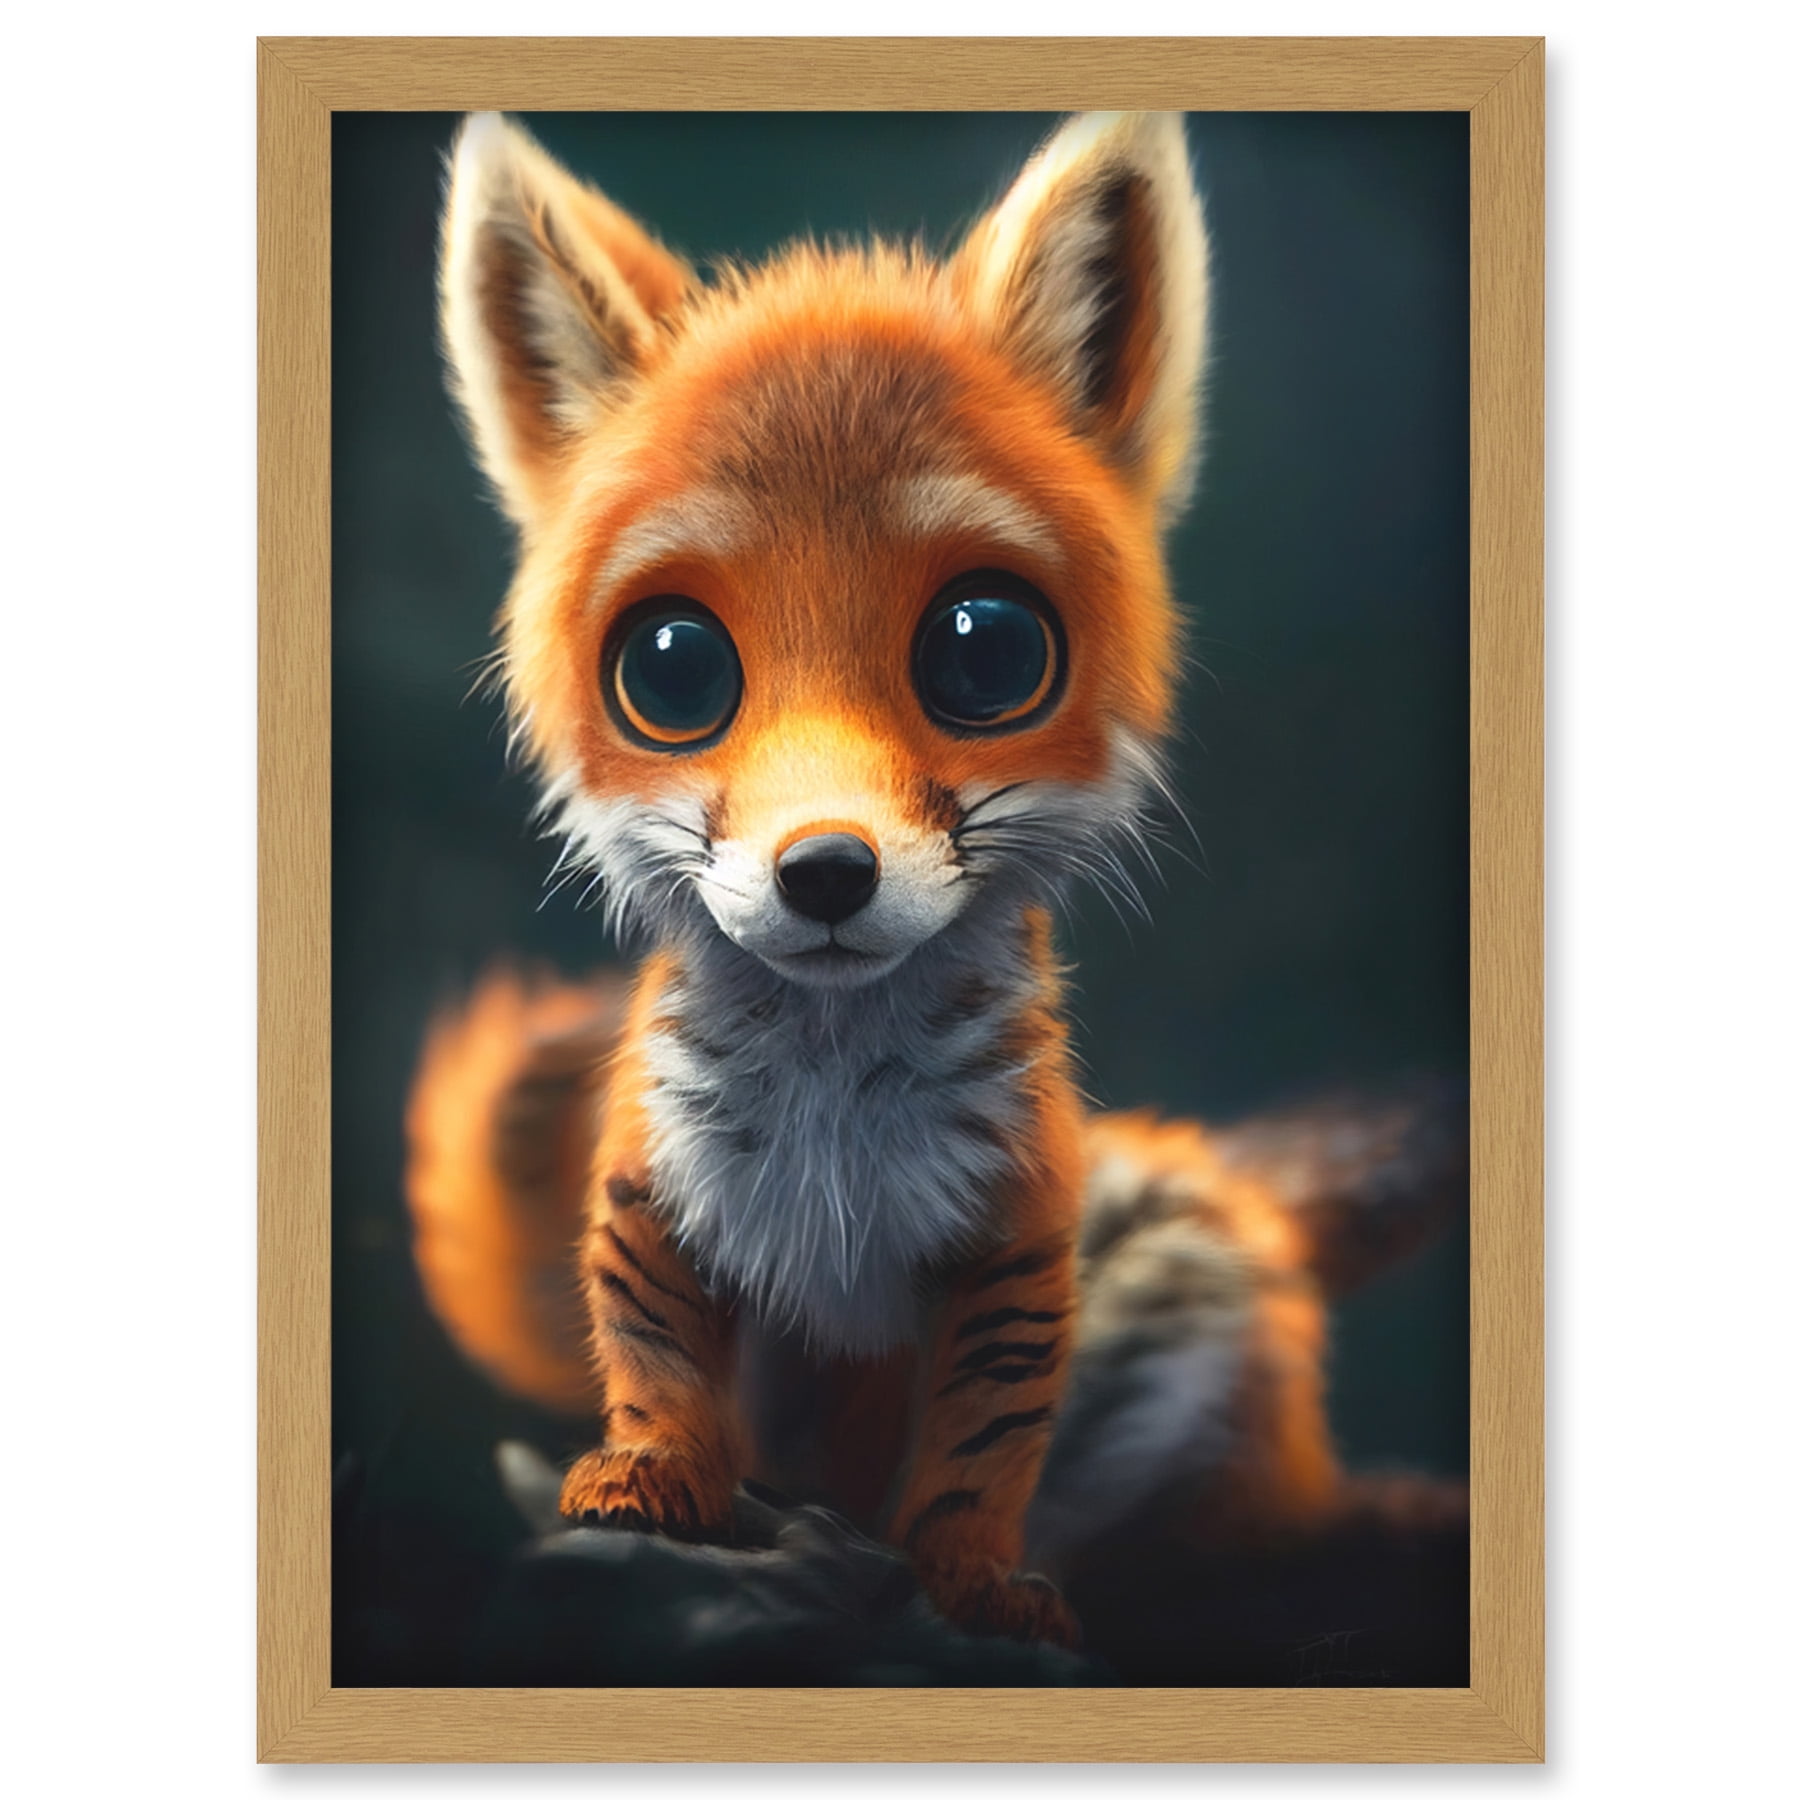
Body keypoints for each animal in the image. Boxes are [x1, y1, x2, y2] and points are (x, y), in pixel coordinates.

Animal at [406, 111, 1467, 1648]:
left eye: (985, 648)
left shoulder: (1015, 1245)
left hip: (1196, 1284)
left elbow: (978, 1451)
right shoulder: (652, 1205)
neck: (834, 1125)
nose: (826, 874)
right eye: (671, 667)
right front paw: (654, 1483)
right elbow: (658, 1368)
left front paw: (967, 1581)